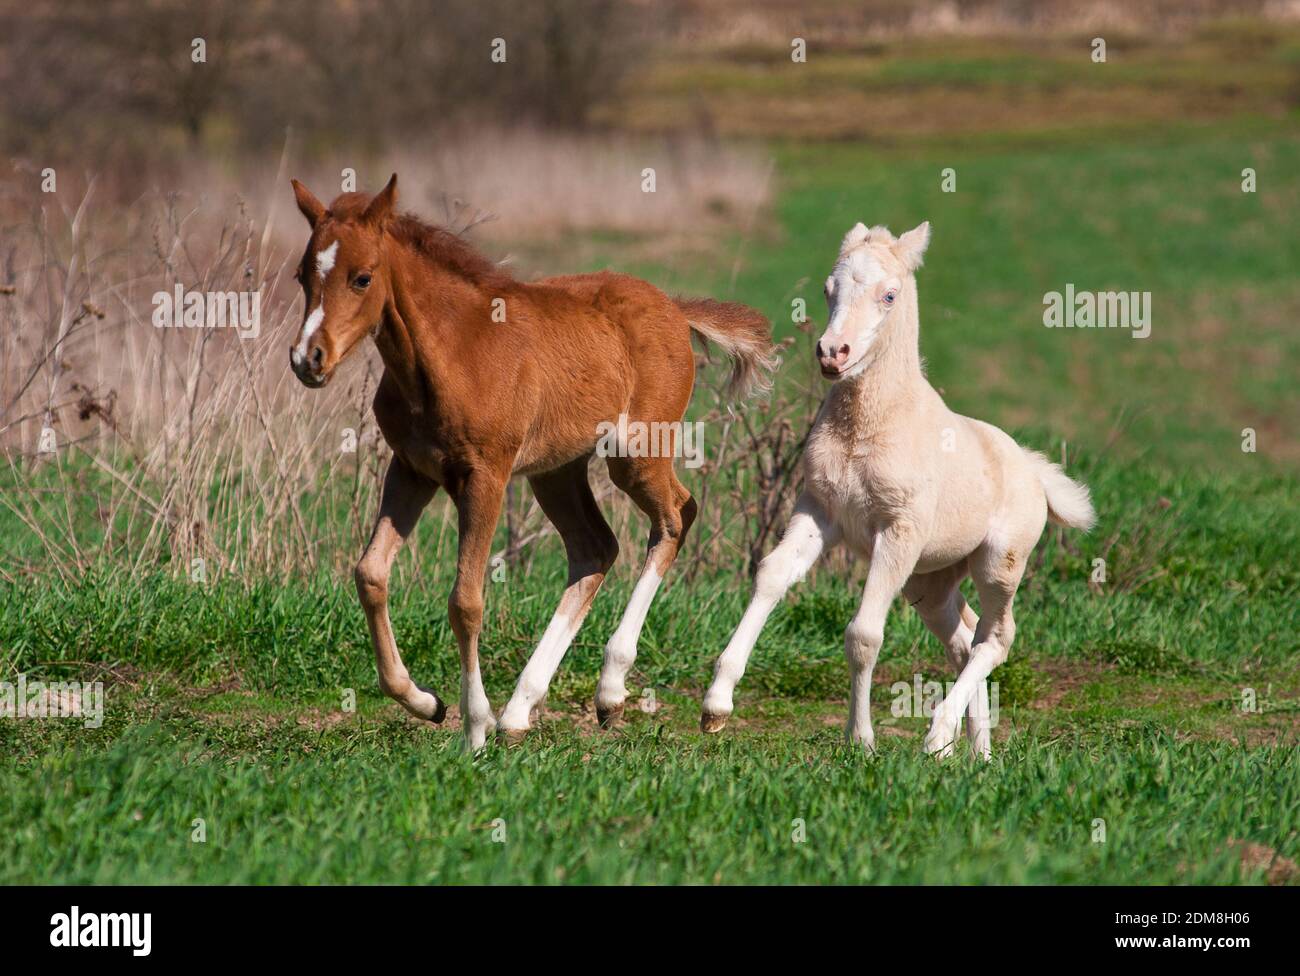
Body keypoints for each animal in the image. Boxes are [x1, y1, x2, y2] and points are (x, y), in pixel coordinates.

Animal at [288, 174, 775, 749]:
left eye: (362, 278)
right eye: (302, 275)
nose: (307, 359)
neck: (449, 353)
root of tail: (676, 309)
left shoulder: (486, 476)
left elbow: (466, 600)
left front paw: (473, 727)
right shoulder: (411, 469)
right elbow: (370, 573)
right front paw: (425, 702)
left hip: (635, 453)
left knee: (676, 516)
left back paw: (618, 691)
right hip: (556, 471)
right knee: (595, 547)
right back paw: (522, 709)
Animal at [700, 220, 1095, 758]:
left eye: (889, 295)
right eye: (828, 288)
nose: (832, 353)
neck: (867, 427)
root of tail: (1034, 472)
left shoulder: (898, 531)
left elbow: (864, 634)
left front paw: (861, 741)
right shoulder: (819, 510)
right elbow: (772, 575)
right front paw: (716, 704)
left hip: (998, 563)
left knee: (996, 639)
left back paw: (939, 736)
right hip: (930, 581)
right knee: (964, 639)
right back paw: (974, 753)